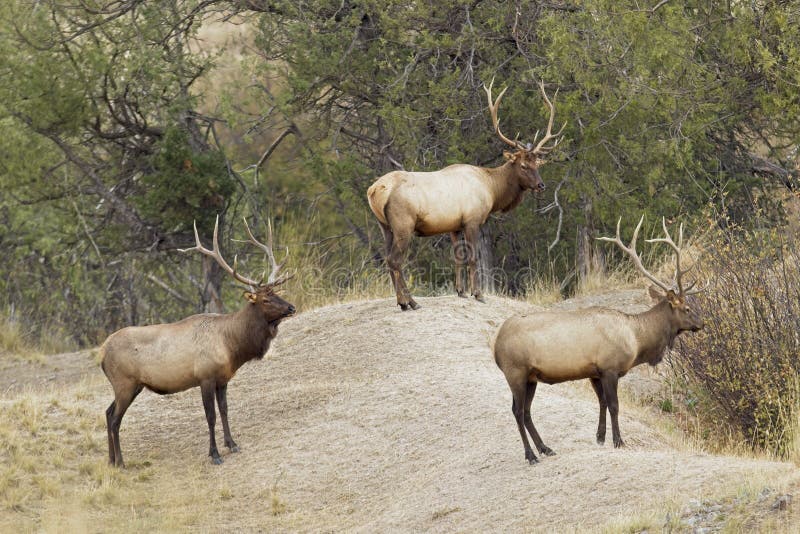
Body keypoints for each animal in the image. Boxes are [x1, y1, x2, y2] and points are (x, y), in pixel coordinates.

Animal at [100, 216, 295, 467]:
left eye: (277, 293)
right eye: (265, 299)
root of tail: (102, 354)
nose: (291, 307)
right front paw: (214, 454)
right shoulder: (205, 376)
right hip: (125, 383)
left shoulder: (223, 379)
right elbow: (210, 416)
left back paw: (111, 460)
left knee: (107, 412)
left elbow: (225, 410)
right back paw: (121, 463)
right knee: (115, 419)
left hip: (130, 386)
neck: (232, 345)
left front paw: (232, 444)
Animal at [367, 79, 566, 310]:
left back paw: (403, 301)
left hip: (384, 226)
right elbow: (473, 258)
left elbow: (458, 257)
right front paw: (478, 293)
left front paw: (461, 291)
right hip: (403, 224)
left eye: (538, 164)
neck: (491, 189)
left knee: (388, 259)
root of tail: (374, 191)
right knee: (395, 260)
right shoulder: (473, 220)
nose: (541, 185)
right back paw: (410, 302)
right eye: (523, 165)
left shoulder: (454, 226)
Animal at [493, 216, 705, 464]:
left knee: (526, 411)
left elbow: (602, 402)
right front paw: (619, 441)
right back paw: (531, 455)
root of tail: (495, 346)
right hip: (515, 371)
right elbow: (614, 405)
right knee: (517, 411)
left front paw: (600, 437)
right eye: (687, 308)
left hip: (531, 377)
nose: (702, 323)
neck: (636, 341)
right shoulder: (609, 367)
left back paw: (545, 448)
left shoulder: (594, 372)